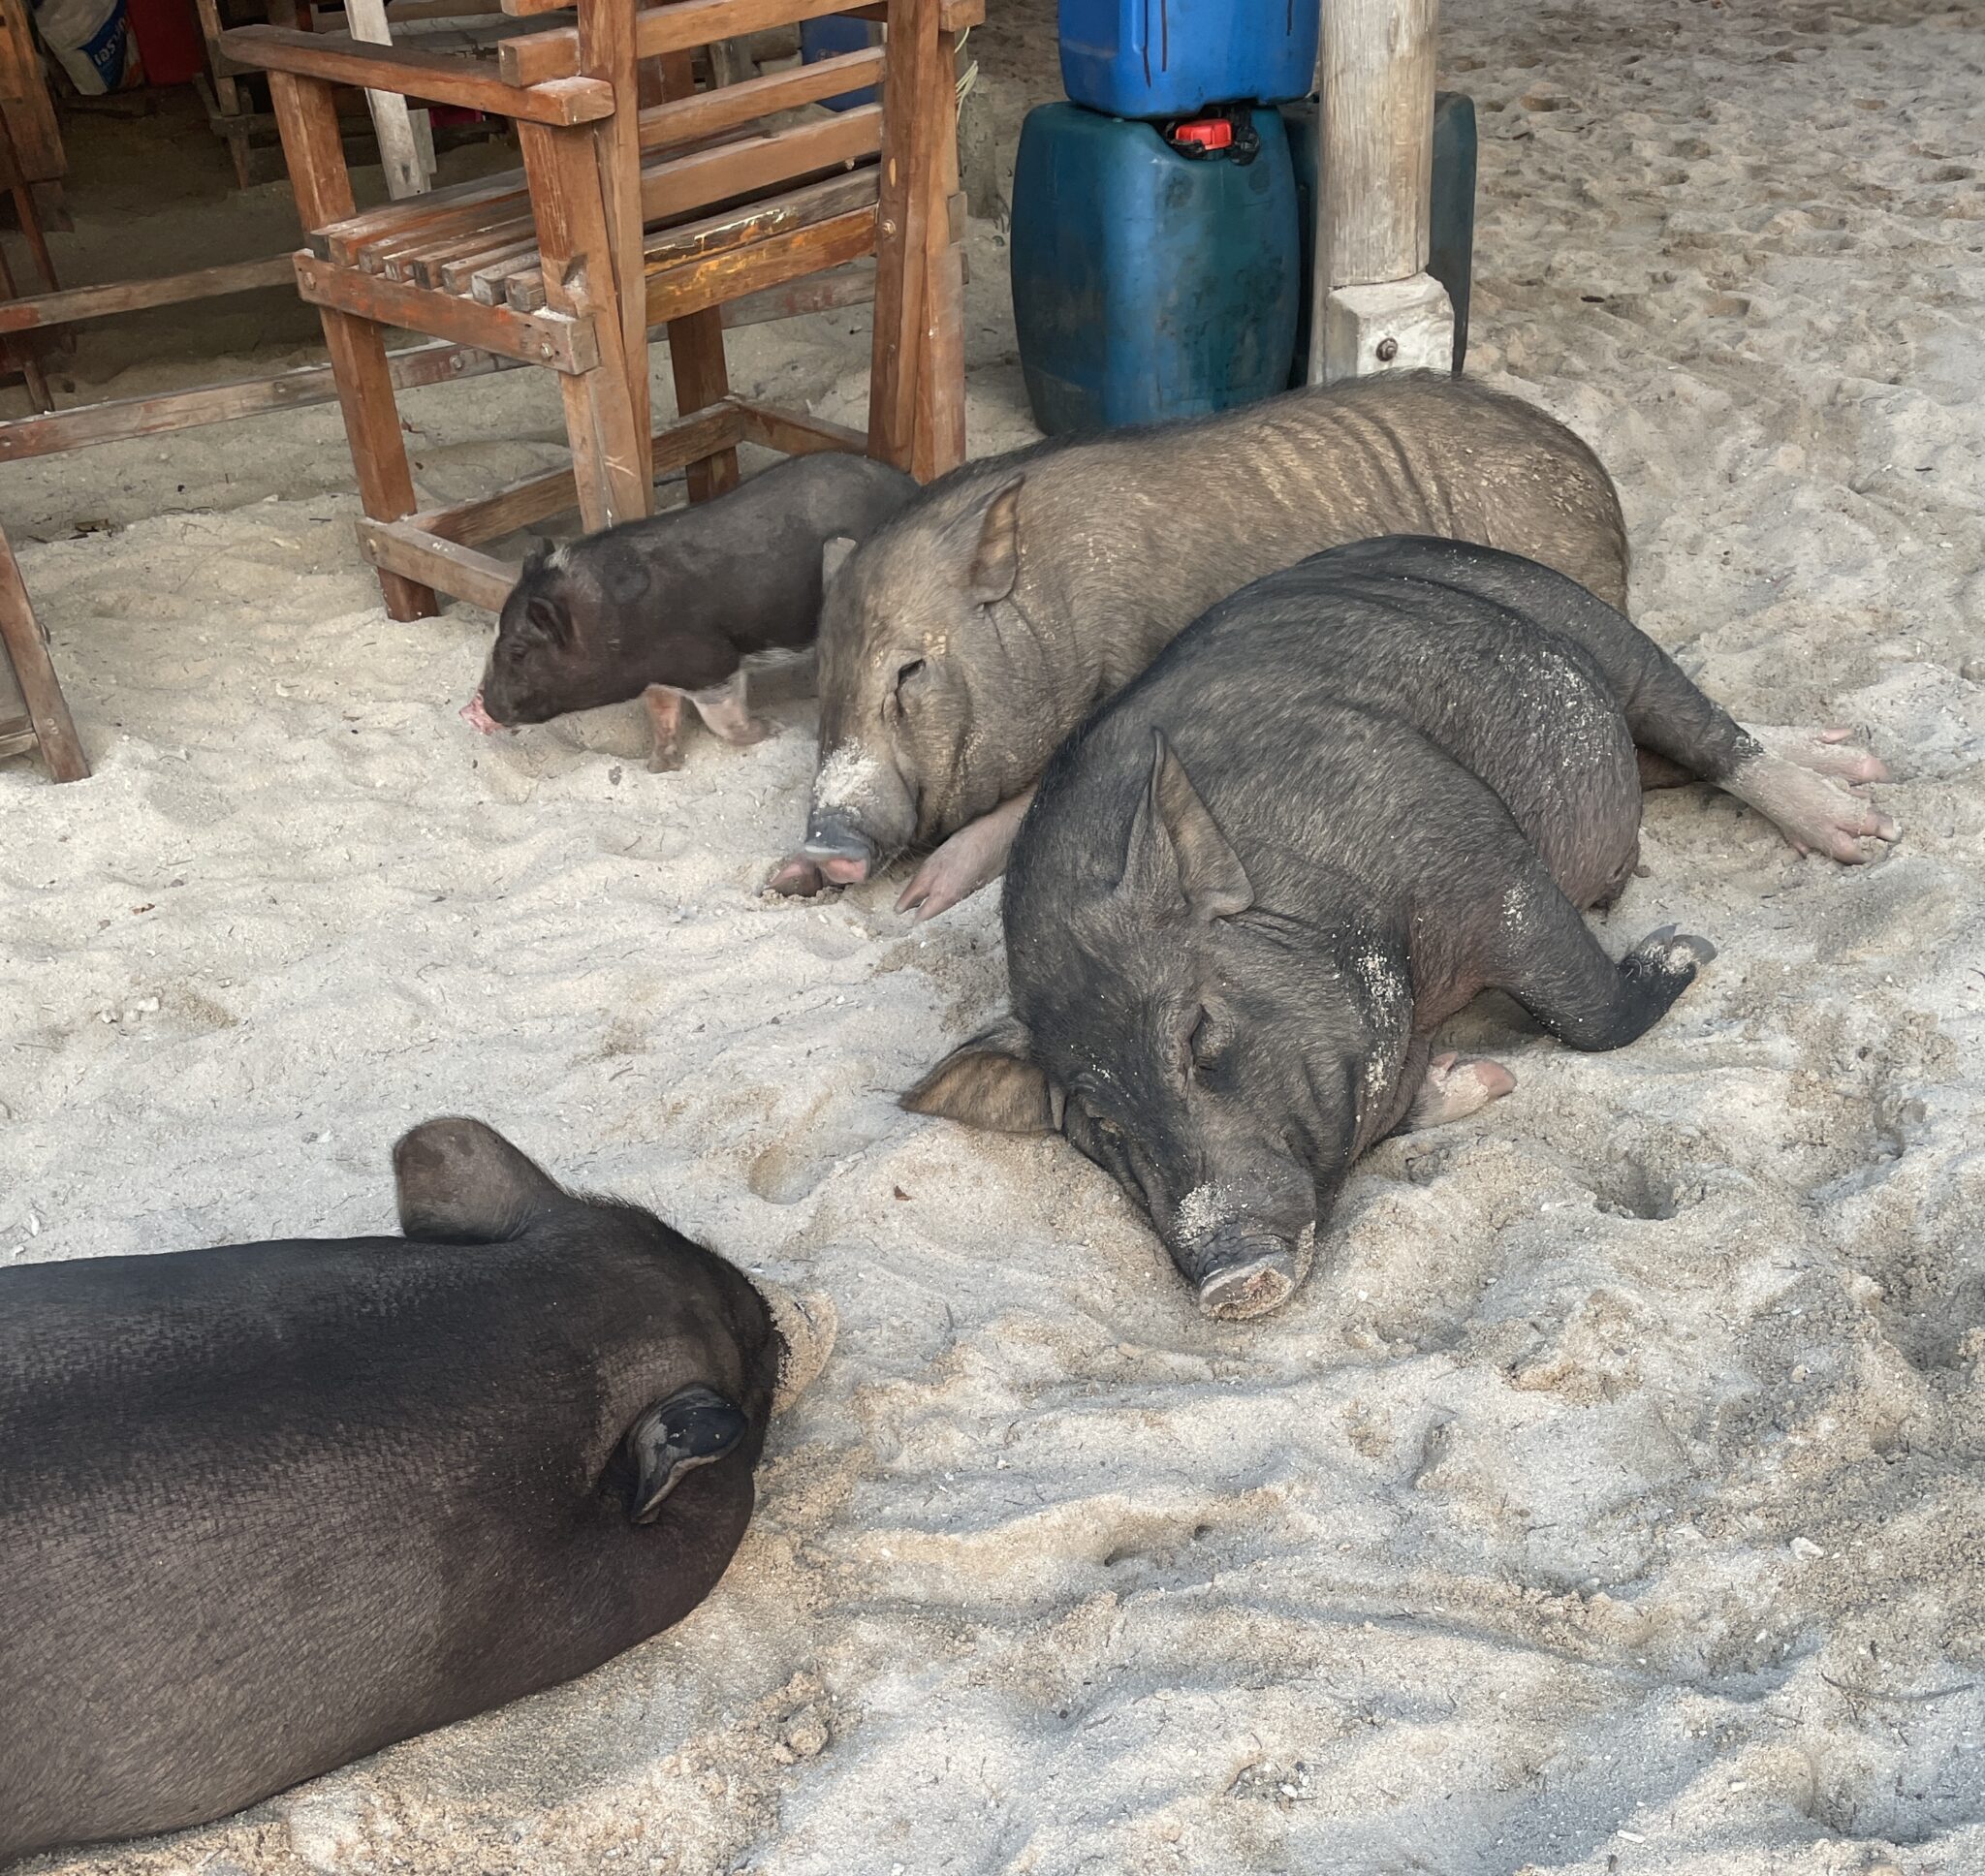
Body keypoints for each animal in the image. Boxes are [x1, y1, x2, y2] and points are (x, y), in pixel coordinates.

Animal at [464, 452, 917, 771]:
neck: (607, 623)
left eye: (519, 651)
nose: (479, 710)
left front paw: (775, 729)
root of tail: (909, 485)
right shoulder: (660, 679)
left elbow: (723, 721)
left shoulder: (713, 662)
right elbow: (662, 715)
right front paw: (658, 765)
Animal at [901, 536, 1896, 1321]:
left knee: (1711, 731)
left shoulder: (1485, 863)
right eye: (1099, 1121)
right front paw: (1485, 1080)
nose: (1229, 1276)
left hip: (1590, 626)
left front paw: (1684, 948)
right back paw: (1853, 763)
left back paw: (1862, 824)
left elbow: (1586, 1010)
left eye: (1198, 1033)